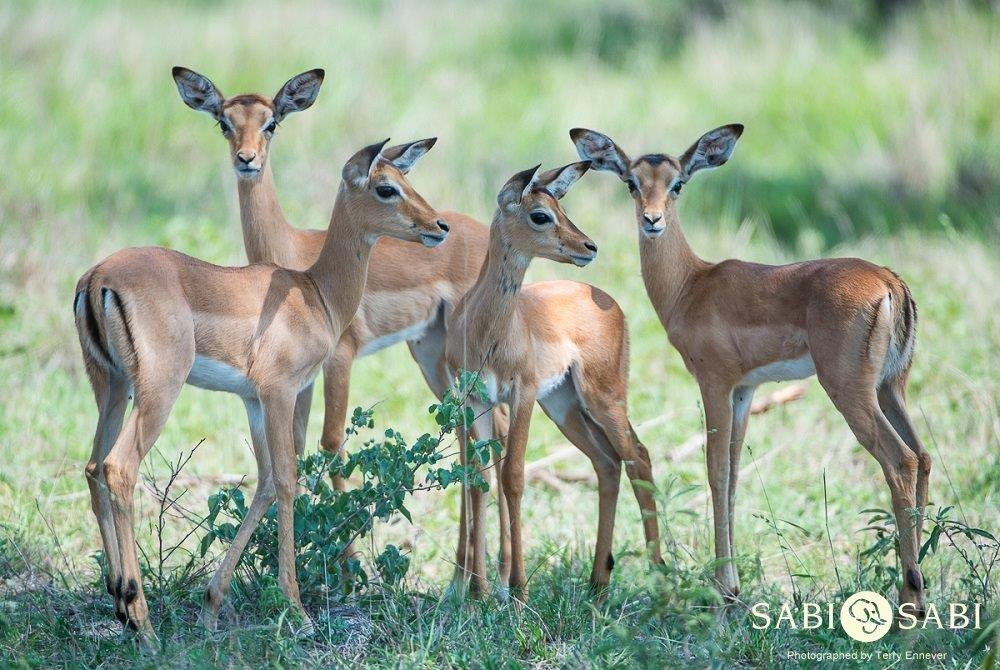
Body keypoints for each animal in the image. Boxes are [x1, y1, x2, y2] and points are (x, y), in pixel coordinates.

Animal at [75, 138, 449, 641]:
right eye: (386, 187)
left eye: (407, 179)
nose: (439, 226)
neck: (314, 293)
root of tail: (99, 277)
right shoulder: (280, 393)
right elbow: (289, 480)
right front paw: (298, 610)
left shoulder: (253, 400)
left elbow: (267, 481)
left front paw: (212, 607)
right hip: (158, 392)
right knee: (119, 467)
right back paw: (143, 621)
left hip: (112, 389)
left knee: (93, 466)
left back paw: (120, 603)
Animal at [172, 67, 502, 486]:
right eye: (223, 122)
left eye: (271, 123)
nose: (247, 160)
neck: (296, 257)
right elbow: (298, 446)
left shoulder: (340, 358)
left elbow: (330, 442)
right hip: (429, 349)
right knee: (464, 420)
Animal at [446, 161, 663, 602]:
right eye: (541, 215)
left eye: (559, 207)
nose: (589, 247)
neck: (487, 329)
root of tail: (610, 302)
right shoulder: (477, 401)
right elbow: (478, 480)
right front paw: (476, 595)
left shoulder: (523, 393)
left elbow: (513, 476)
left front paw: (518, 591)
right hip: (565, 407)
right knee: (608, 463)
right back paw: (597, 583)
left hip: (603, 399)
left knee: (639, 457)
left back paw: (661, 578)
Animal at [571, 125, 930, 614]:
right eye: (631, 182)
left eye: (677, 184)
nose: (652, 220)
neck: (691, 286)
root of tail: (888, 281)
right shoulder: (745, 390)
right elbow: (735, 473)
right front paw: (734, 583)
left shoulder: (713, 383)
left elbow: (715, 471)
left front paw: (723, 588)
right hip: (891, 387)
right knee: (924, 456)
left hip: (850, 391)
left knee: (901, 460)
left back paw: (909, 596)